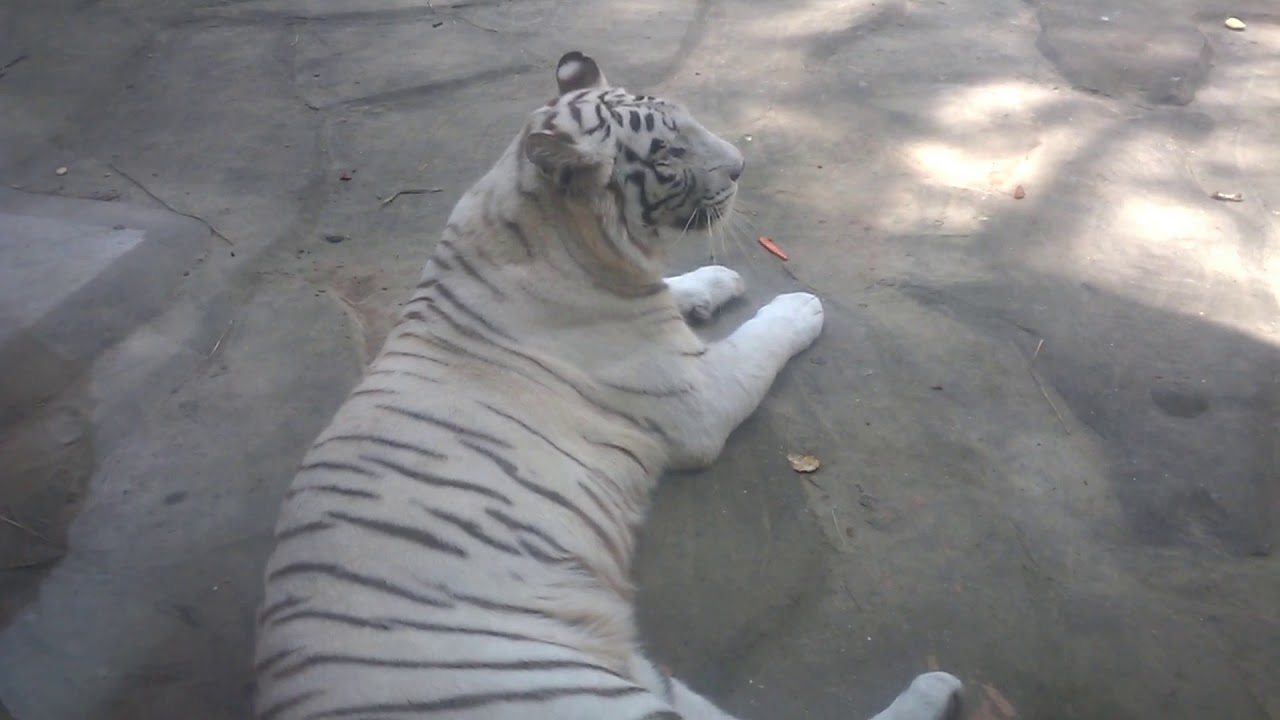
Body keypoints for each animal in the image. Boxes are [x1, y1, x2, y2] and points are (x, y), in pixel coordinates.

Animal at [252, 50, 964, 720]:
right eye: (669, 152)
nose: (740, 167)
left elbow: (679, 289)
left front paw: (719, 279)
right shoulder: (698, 400)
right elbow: (756, 342)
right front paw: (797, 305)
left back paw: (943, 686)